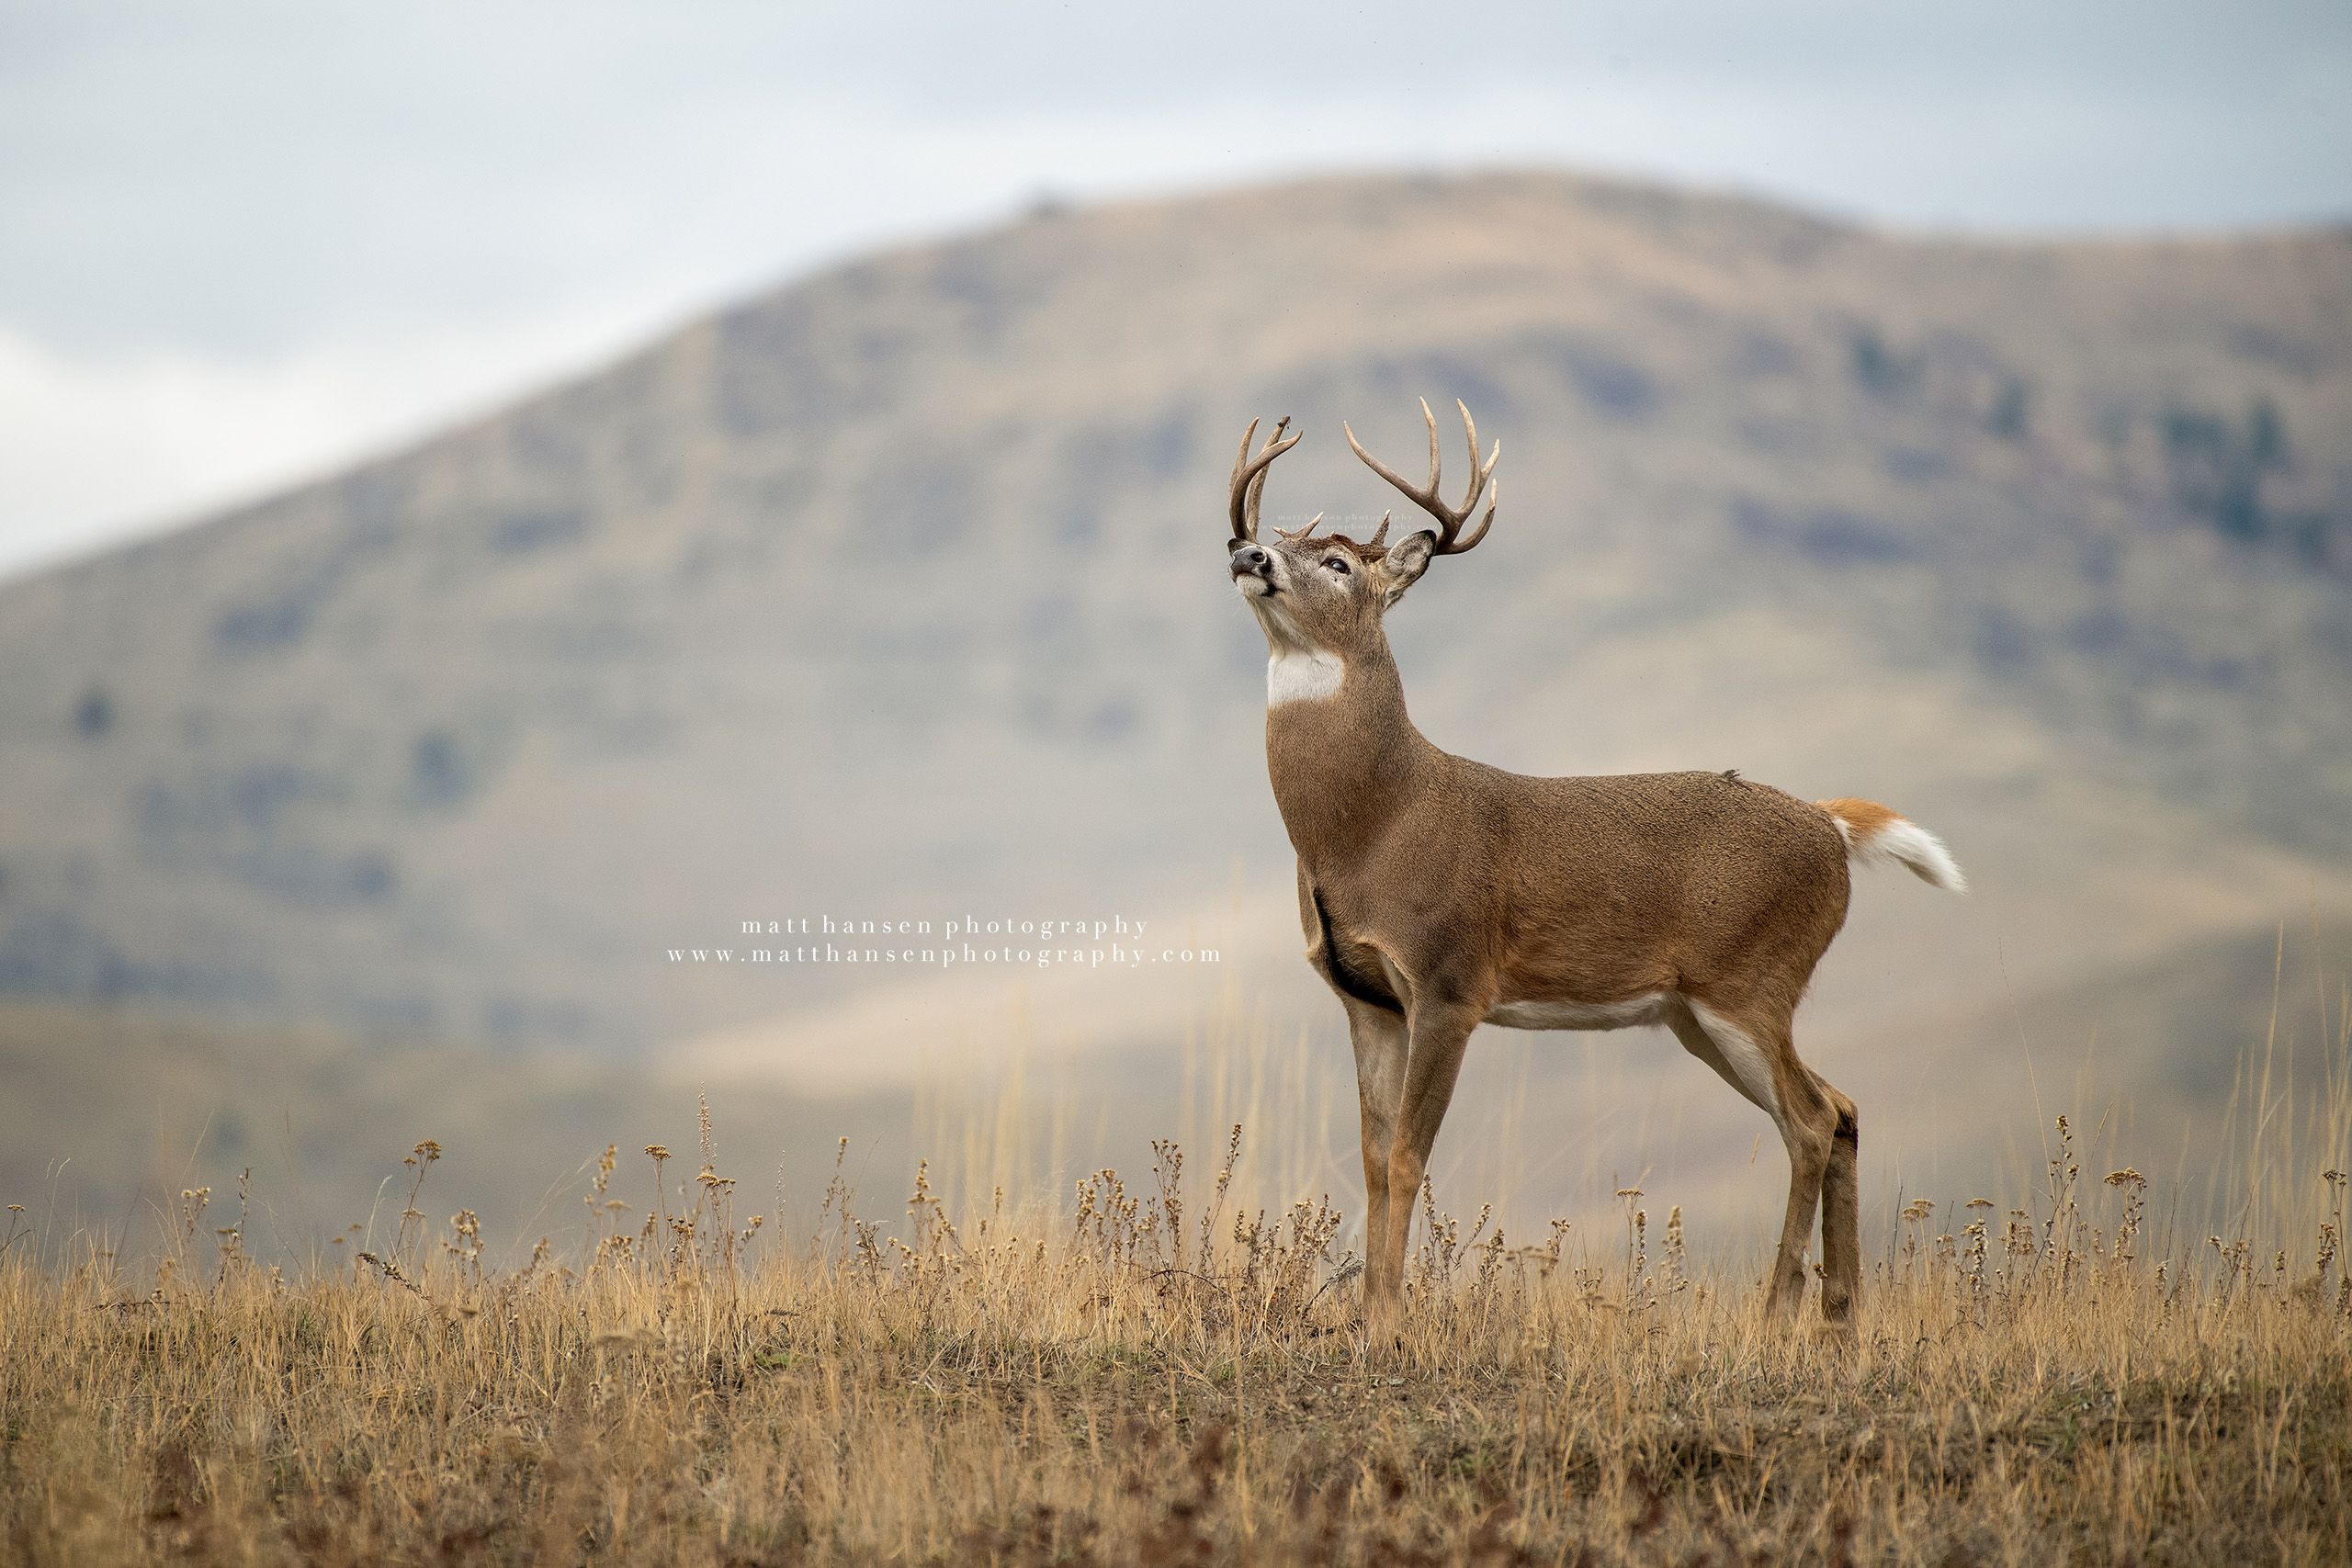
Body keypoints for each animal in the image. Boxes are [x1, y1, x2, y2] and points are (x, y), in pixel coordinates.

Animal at [1223, 400, 1965, 1325]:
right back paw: (1839, 1313)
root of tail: (1832, 828)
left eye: (1336, 561)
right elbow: (1369, 1158)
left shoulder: (1452, 981)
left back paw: (1775, 1315)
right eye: (1277, 533)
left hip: (1750, 979)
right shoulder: (1367, 997)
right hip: (1699, 1012)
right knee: (1844, 1105)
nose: (1247, 553)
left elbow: (1405, 1157)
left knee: (1810, 1118)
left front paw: (1390, 1320)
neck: (1374, 827)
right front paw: (1367, 1311)